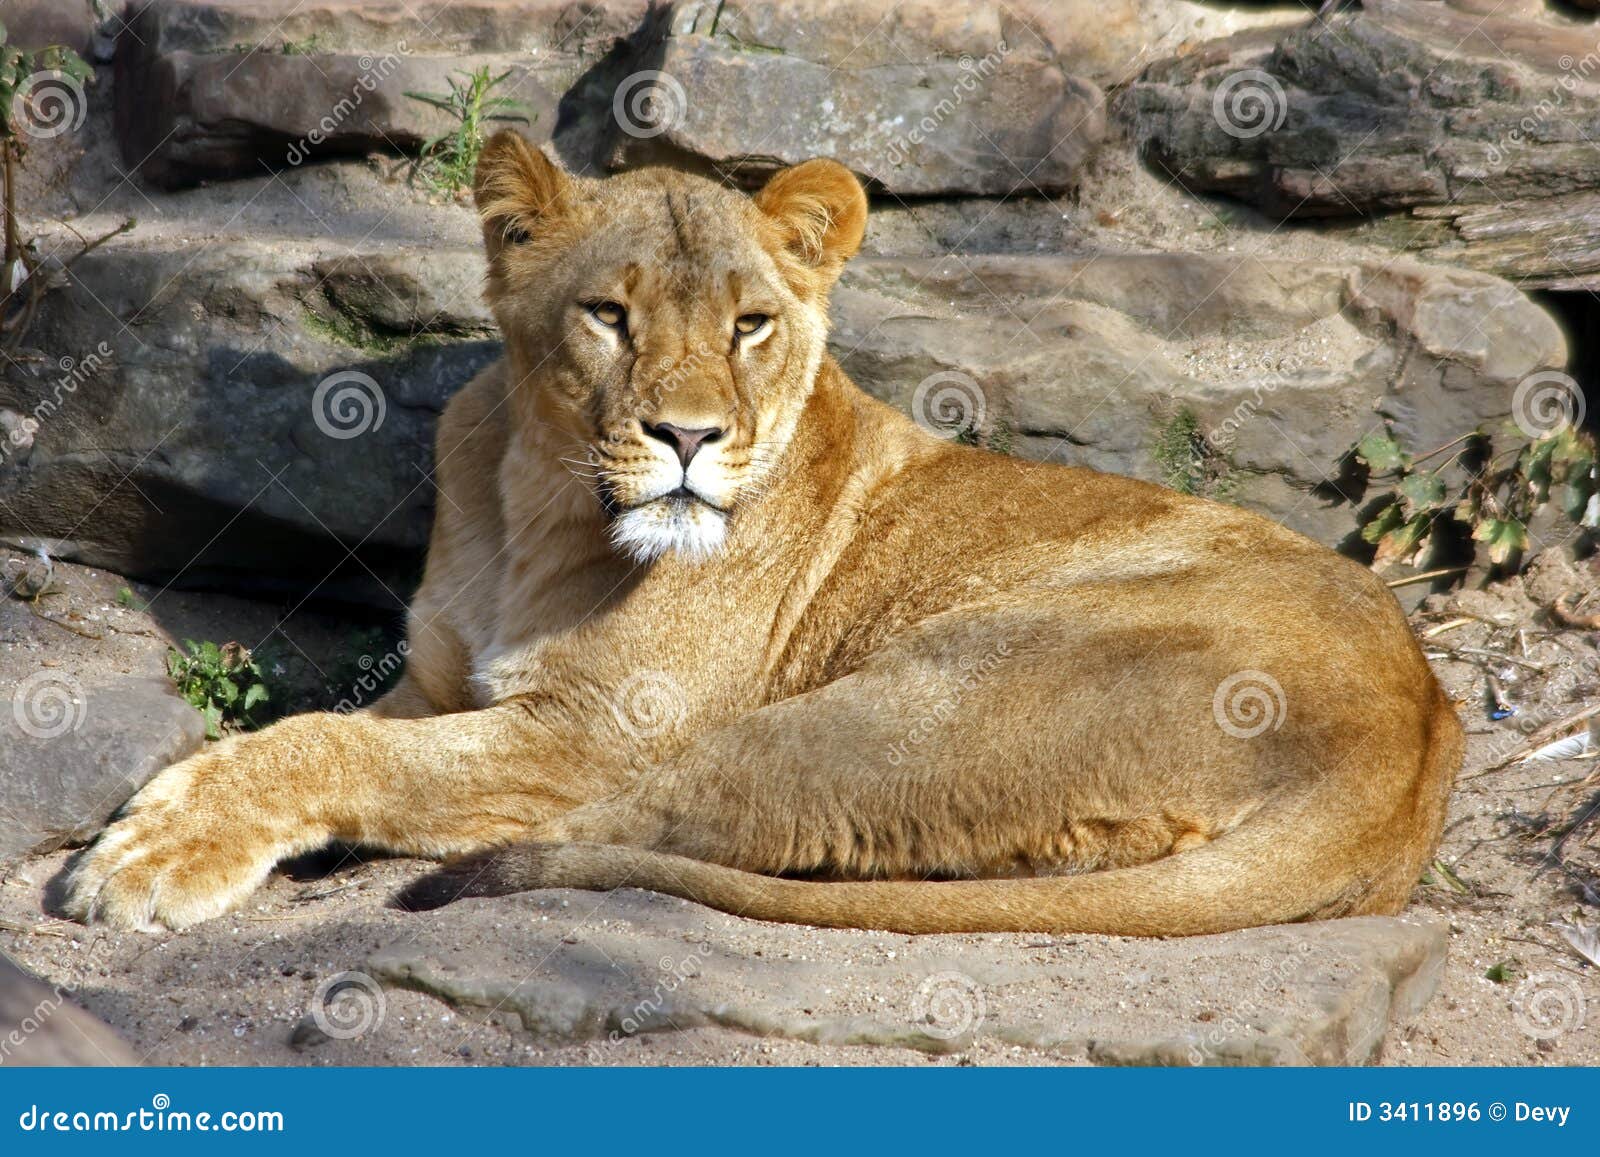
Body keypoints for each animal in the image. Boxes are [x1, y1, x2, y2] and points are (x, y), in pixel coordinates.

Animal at [63, 131, 1462, 936]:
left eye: (749, 324)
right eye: (609, 314)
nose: (687, 436)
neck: (532, 507)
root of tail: (1409, 741)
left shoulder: (583, 730)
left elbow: (335, 748)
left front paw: (148, 851)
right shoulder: (442, 679)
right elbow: (315, 731)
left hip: (858, 713)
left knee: (630, 828)